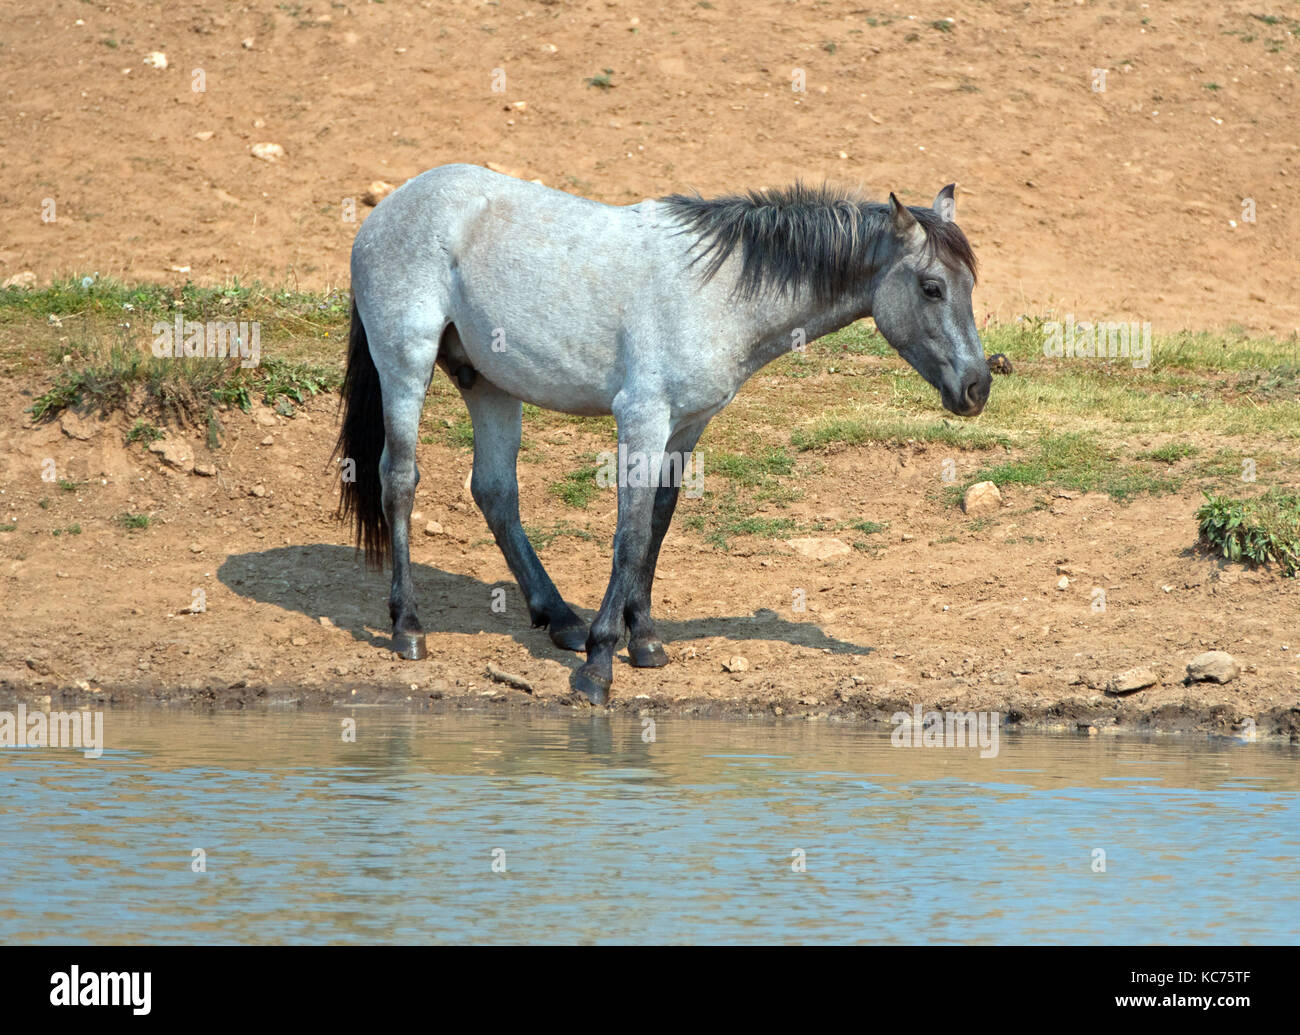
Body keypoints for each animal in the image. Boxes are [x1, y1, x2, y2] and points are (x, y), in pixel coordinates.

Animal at [335, 164, 989, 704]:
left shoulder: (688, 427)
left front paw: (643, 640)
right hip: (406, 362)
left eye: (969, 286)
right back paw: (409, 627)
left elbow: (657, 522)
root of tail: (387, 210)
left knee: (495, 491)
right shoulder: (642, 419)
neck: (717, 293)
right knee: (399, 480)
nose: (978, 387)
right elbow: (628, 536)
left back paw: (560, 619)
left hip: (489, 383)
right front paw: (600, 663)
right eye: (932, 286)